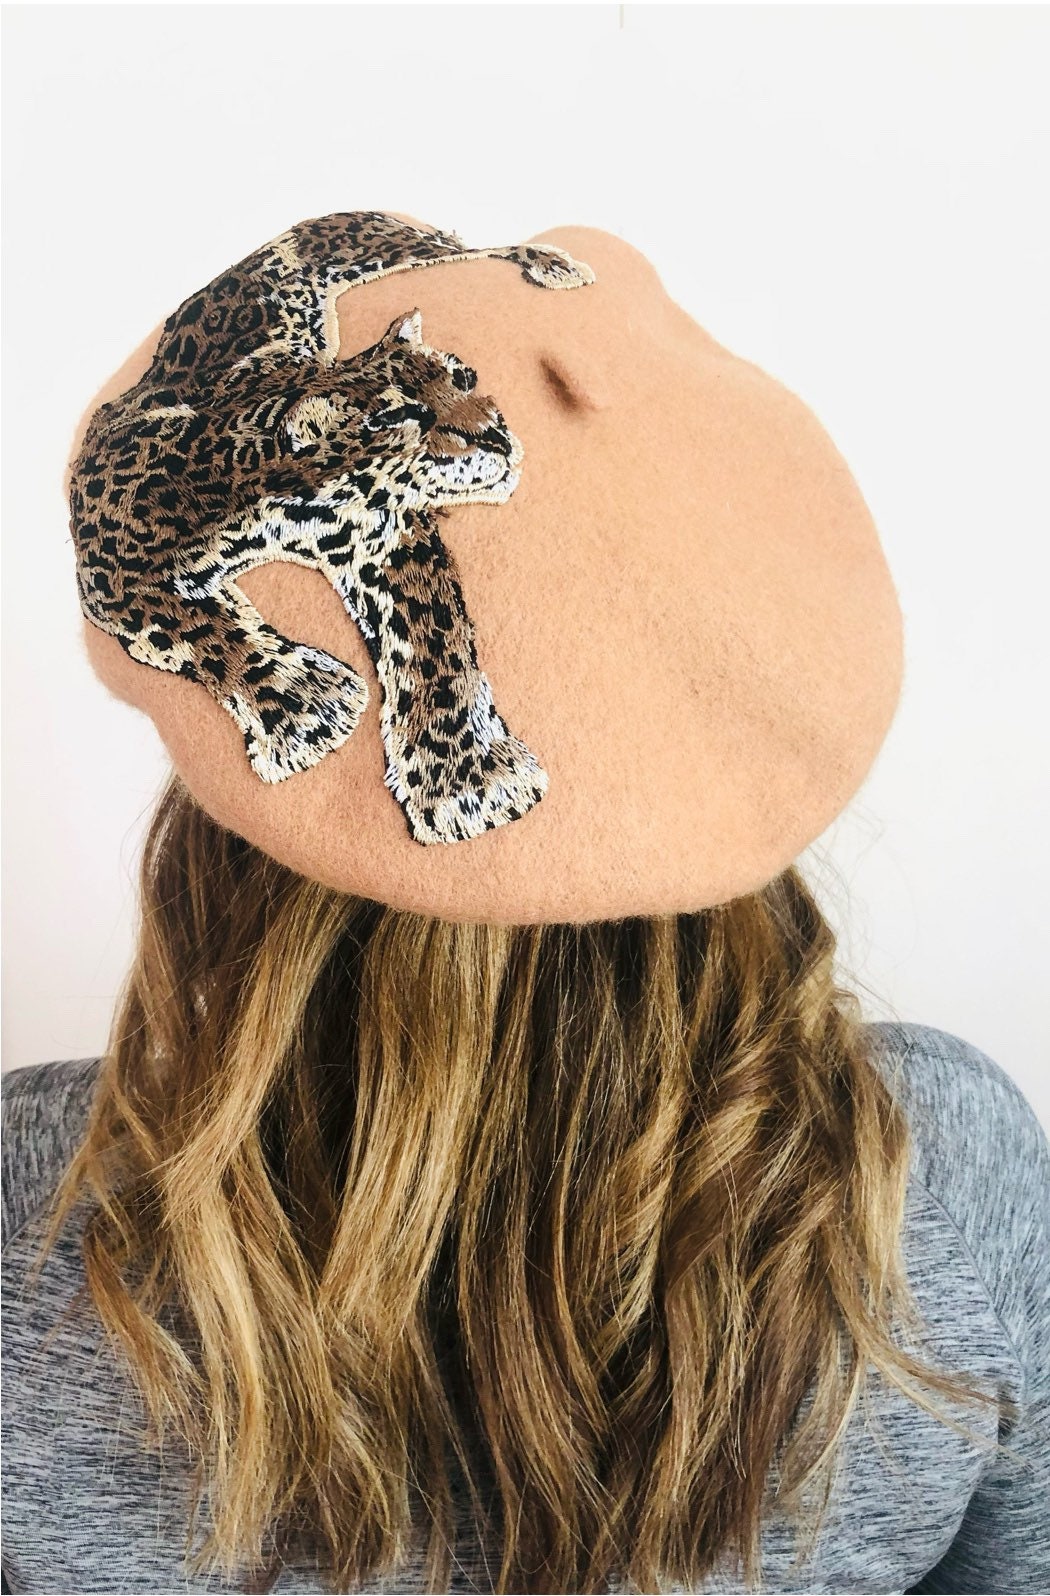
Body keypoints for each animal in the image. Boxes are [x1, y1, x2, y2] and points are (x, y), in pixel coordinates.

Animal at [68, 212, 595, 846]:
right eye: (400, 417)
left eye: (465, 378)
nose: (497, 435)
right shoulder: (105, 559)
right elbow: (193, 624)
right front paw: (306, 709)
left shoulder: (383, 540)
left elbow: (432, 638)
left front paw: (467, 780)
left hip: (394, 252)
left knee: (480, 248)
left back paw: (555, 264)